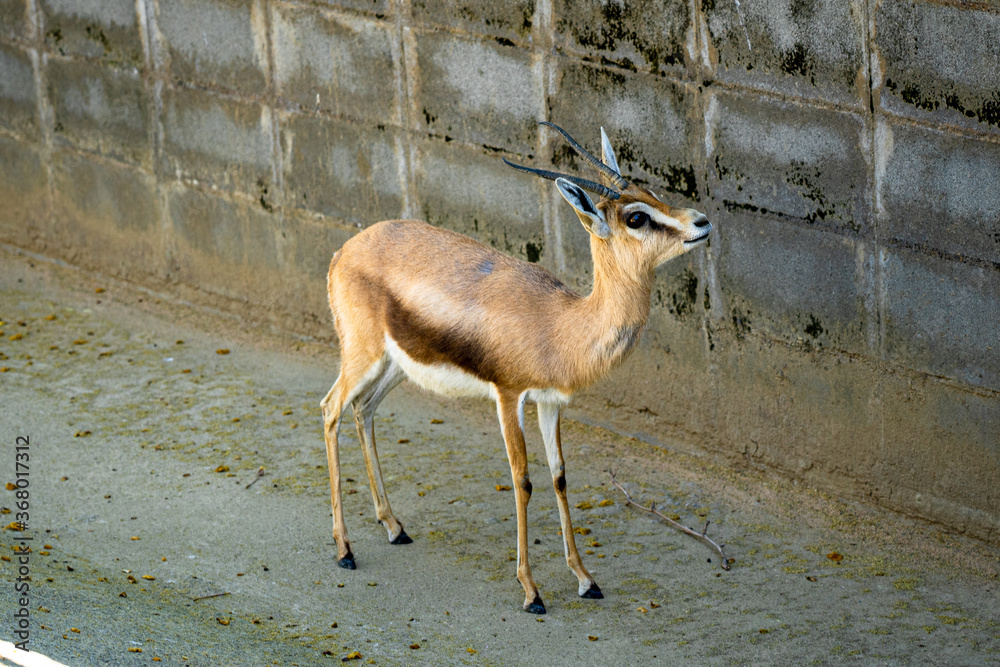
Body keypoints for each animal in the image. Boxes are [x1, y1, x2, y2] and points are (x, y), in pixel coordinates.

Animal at [320, 122, 711, 614]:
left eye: (652, 192)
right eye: (635, 218)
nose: (702, 222)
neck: (561, 323)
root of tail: (344, 250)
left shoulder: (551, 402)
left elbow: (559, 476)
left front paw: (586, 580)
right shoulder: (508, 396)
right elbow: (521, 478)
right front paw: (531, 591)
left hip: (395, 365)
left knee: (363, 411)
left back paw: (395, 527)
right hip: (362, 354)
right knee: (330, 409)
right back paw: (344, 550)